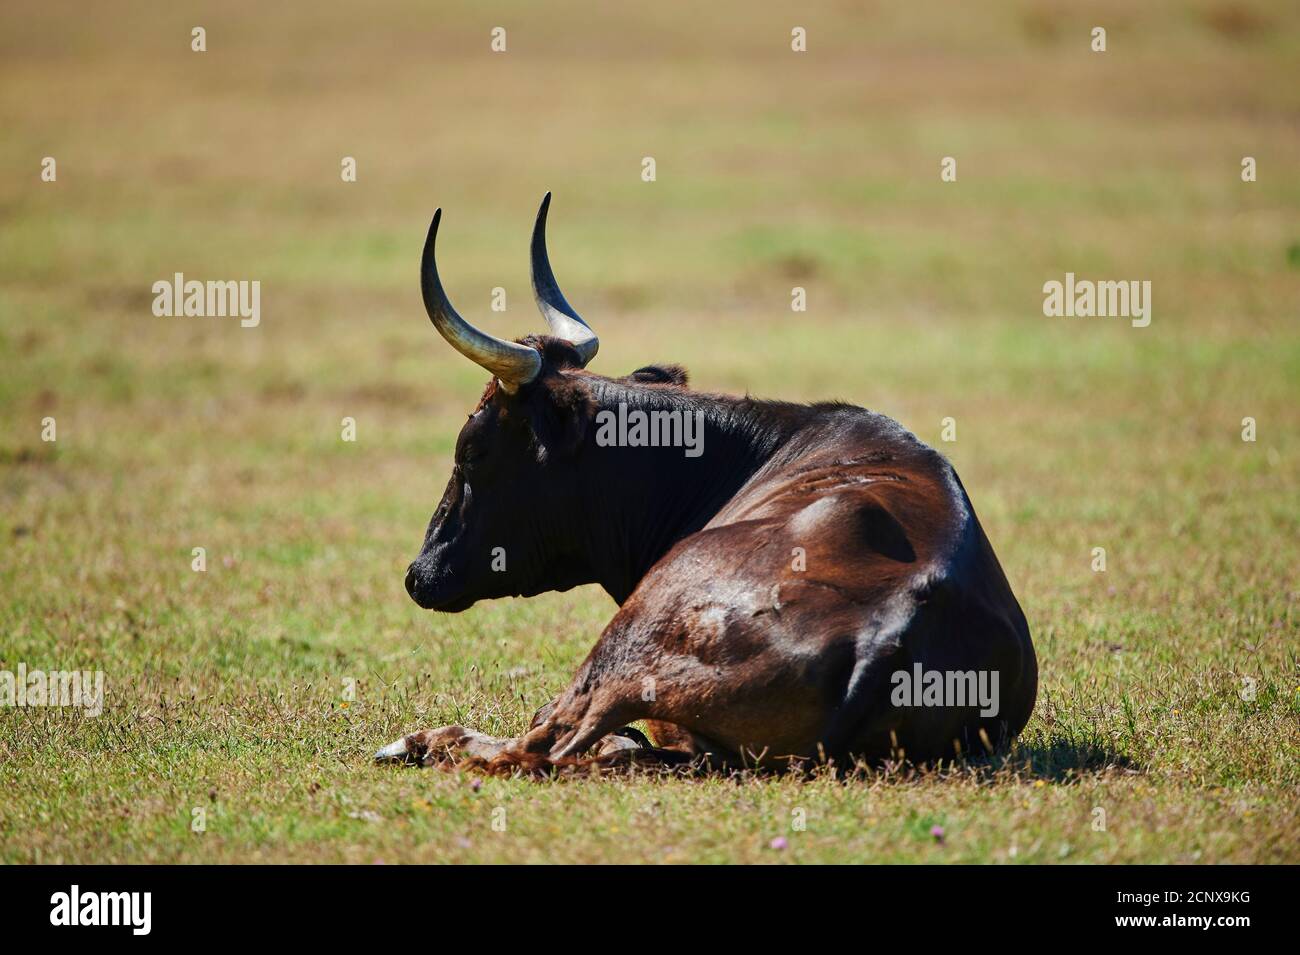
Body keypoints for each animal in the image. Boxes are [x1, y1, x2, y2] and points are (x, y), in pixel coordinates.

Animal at [376, 195, 1037, 775]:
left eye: (472, 448)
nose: (419, 573)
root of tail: (890, 632)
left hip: (624, 643)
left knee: (541, 741)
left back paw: (419, 743)